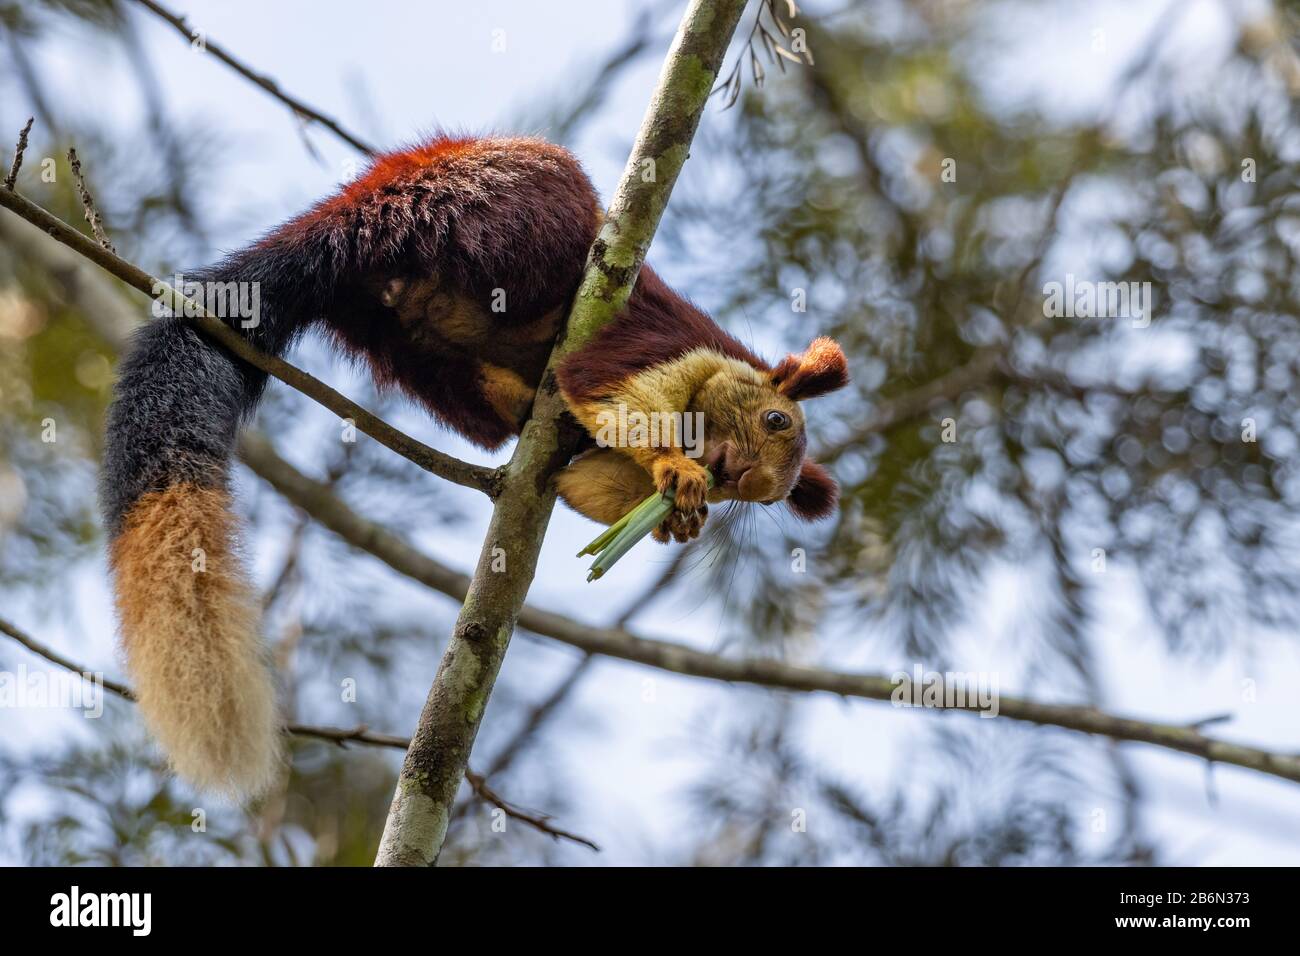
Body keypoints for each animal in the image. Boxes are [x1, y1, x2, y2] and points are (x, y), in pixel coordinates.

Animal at [100, 135, 849, 800]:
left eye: (762, 499)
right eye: (776, 422)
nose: (741, 478)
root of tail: (351, 216)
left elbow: (582, 479)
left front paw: (666, 518)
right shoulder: (658, 346)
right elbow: (605, 389)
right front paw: (672, 469)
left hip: (401, 340)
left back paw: (514, 397)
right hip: (502, 210)